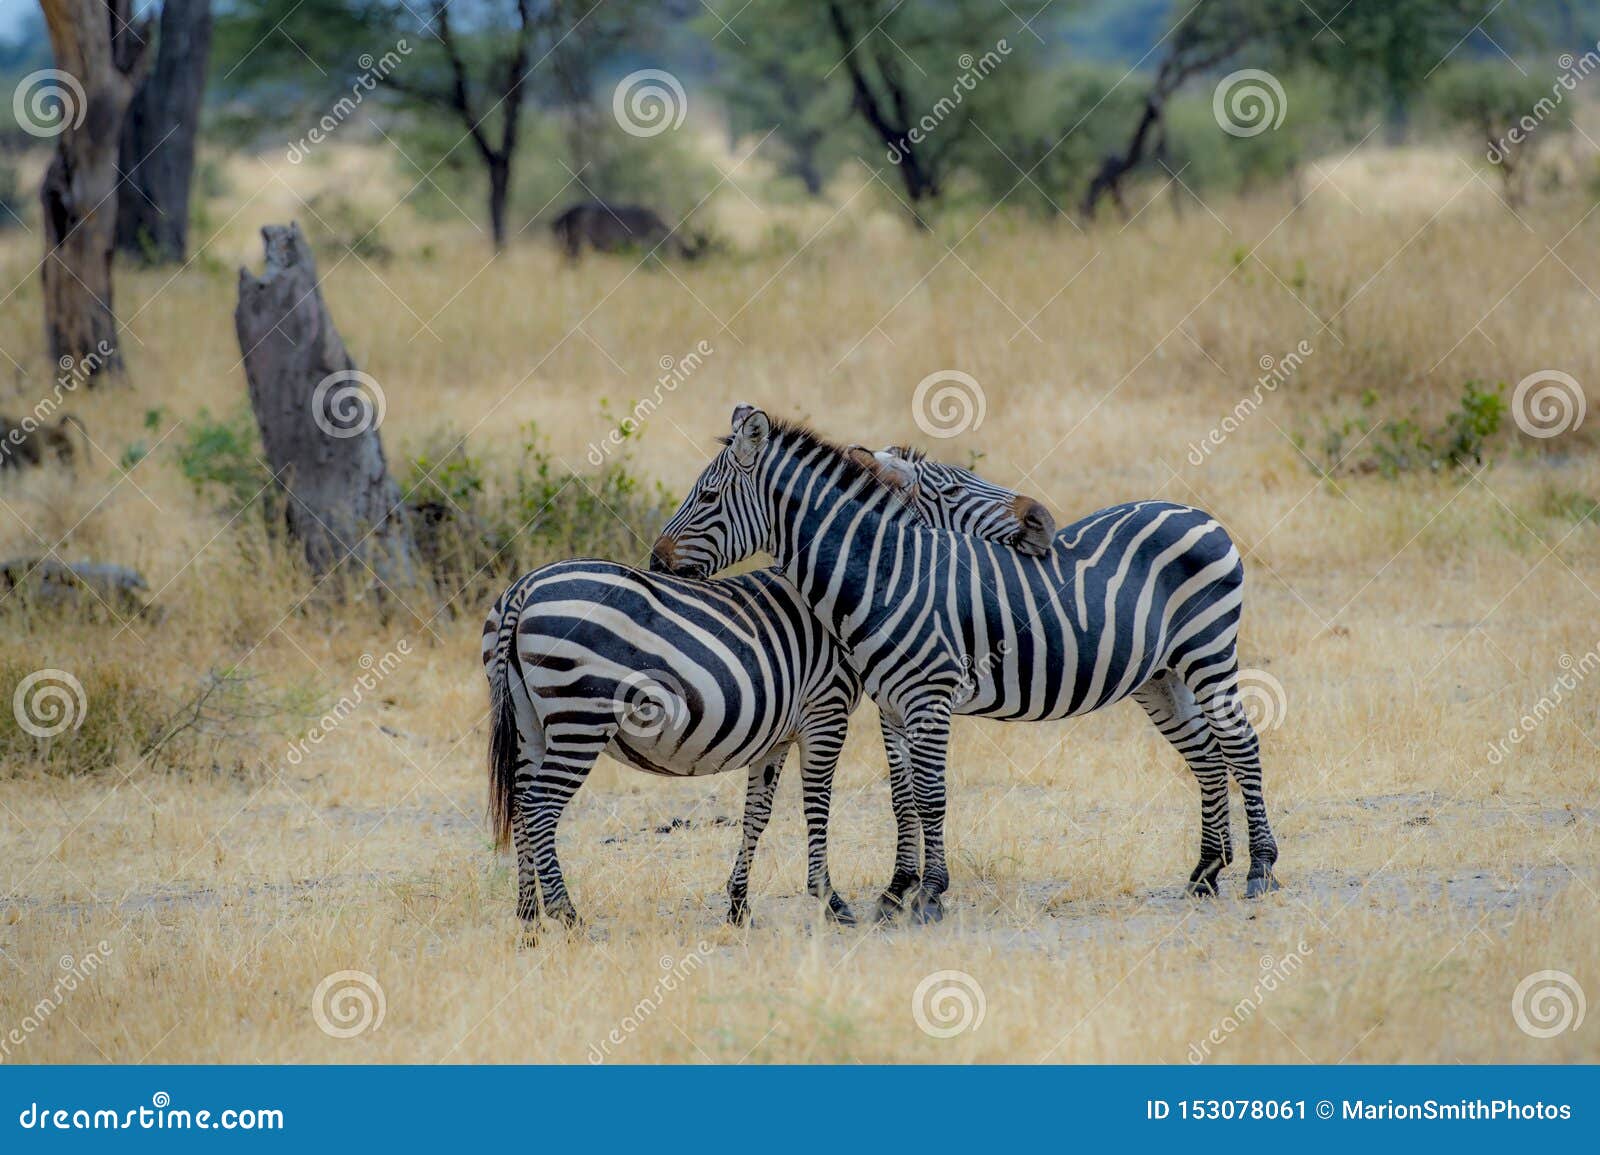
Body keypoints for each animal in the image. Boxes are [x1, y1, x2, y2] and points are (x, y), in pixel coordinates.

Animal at [483, 471, 1046, 934]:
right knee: (540, 806)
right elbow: (817, 804)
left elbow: (757, 814)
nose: (1040, 521)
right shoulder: (825, 710)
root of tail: (523, 589)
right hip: (580, 716)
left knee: (523, 799)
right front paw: (829, 901)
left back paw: (528, 916)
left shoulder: (776, 732)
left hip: (532, 724)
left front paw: (738, 906)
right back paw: (566, 914)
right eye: (954, 488)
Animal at [652, 405, 1281, 923]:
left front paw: (930, 895)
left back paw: (1260, 869)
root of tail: (1194, 510)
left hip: (1208, 651)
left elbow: (932, 795)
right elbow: (903, 795)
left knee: (1240, 741)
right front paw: (895, 891)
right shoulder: (891, 704)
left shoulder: (928, 697)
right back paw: (1205, 873)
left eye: (706, 499)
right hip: (1161, 676)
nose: (655, 560)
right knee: (1206, 754)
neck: (885, 572)